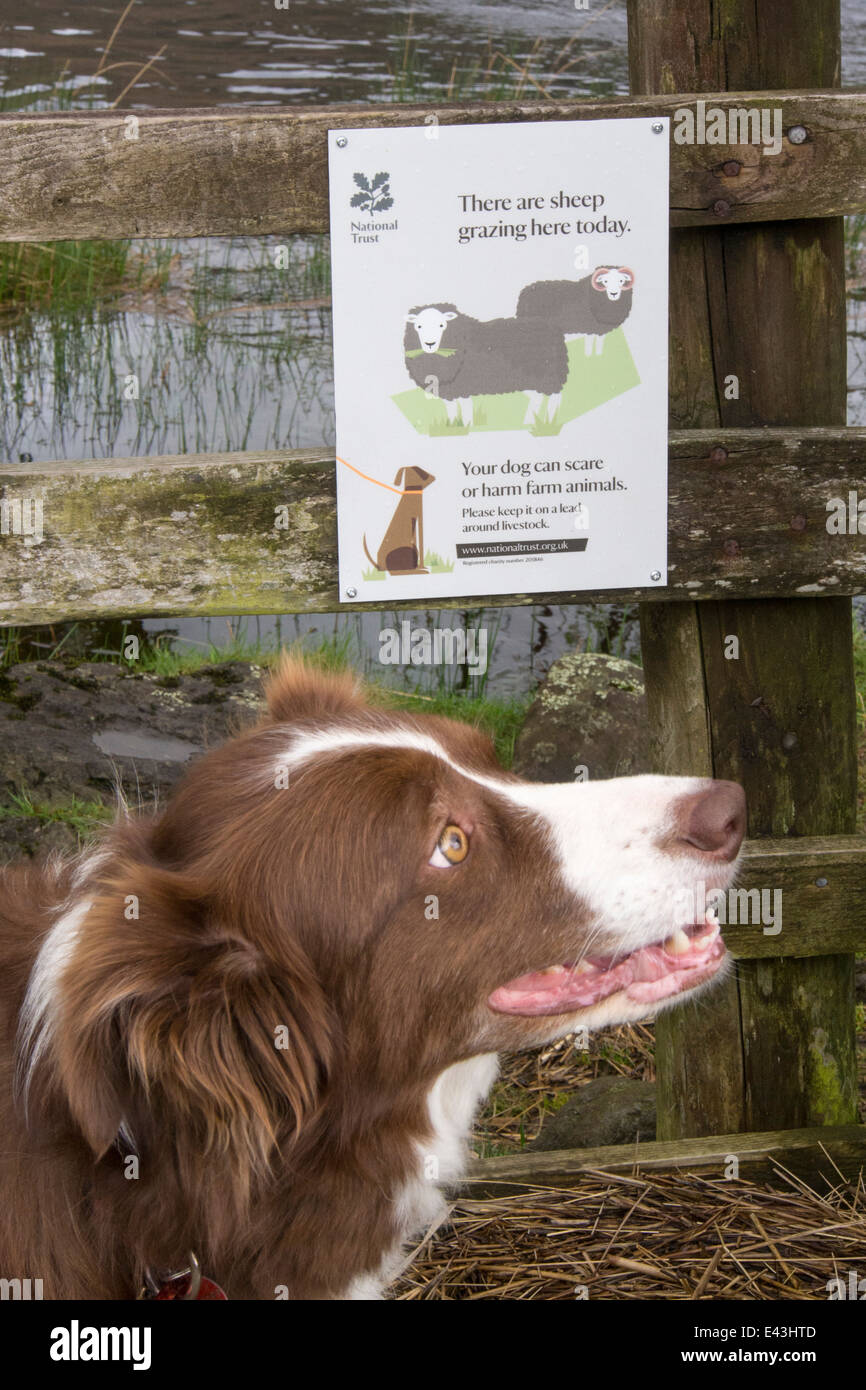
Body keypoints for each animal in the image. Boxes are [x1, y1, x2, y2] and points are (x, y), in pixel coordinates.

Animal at [404, 303, 568, 427]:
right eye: (418, 326)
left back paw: (549, 421)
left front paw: (468, 426)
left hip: (549, 374)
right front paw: (452, 426)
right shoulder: (448, 388)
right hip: (529, 380)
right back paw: (529, 422)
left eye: (441, 325)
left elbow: (466, 409)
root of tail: (554, 327)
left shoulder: (464, 386)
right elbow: (451, 409)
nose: (429, 344)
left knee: (555, 397)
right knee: (537, 398)